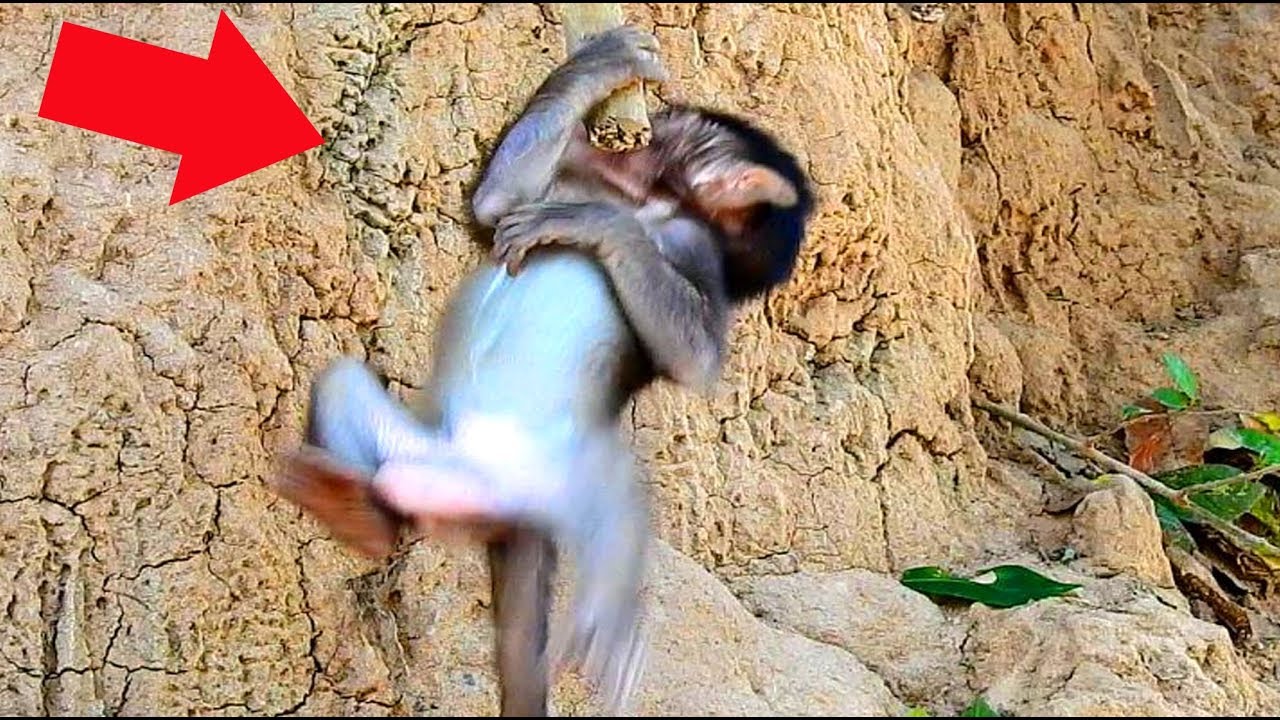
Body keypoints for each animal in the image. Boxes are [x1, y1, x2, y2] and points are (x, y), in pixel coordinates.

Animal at [270, 25, 814, 716]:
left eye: (672, 127)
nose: (649, 119)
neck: (652, 203)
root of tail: (504, 502)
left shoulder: (697, 254)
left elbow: (695, 360)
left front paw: (595, 224)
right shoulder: (574, 179)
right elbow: (498, 204)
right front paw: (604, 63)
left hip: (567, 469)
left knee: (619, 480)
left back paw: (606, 618)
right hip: (426, 456)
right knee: (350, 399)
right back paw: (357, 513)